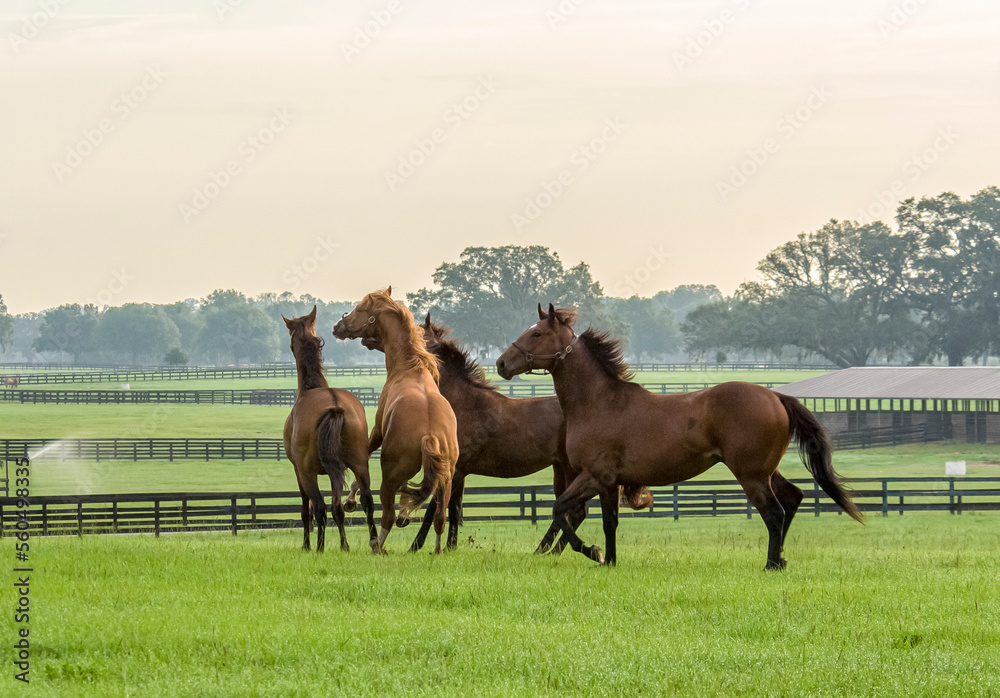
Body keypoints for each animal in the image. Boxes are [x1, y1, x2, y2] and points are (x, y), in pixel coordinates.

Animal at [281, 307, 378, 552]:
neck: (312, 388)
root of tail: (335, 406)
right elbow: (339, 509)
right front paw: (345, 545)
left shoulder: (299, 471)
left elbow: (307, 511)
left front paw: (307, 545)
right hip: (359, 464)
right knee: (365, 502)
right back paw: (374, 544)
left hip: (307, 473)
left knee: (319, 508)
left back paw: (318, 548)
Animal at [332, 288, 459, 554]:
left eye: (360, 309)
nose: (338, 326)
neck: (410, 368)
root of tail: (429, 436)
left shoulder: (377, 431)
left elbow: (363, 463)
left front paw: (350, 501)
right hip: (446, 480)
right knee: (440, 518)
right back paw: (437, 550)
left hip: (390, 477)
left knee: (387, 516)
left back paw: (377, 545)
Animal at [496, 304, 864, 569]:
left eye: (536, 334)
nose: (501, 363)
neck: (599, 402)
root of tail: (775, 396)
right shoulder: (610, 482)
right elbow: (609, 522)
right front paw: (609, 560)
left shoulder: (594, 476)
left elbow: (560, 509)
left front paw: (592, 551)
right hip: (767, 471)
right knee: (792, 499)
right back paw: (782, 558)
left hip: (751, 475)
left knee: (774, 513)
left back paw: (771, 564)